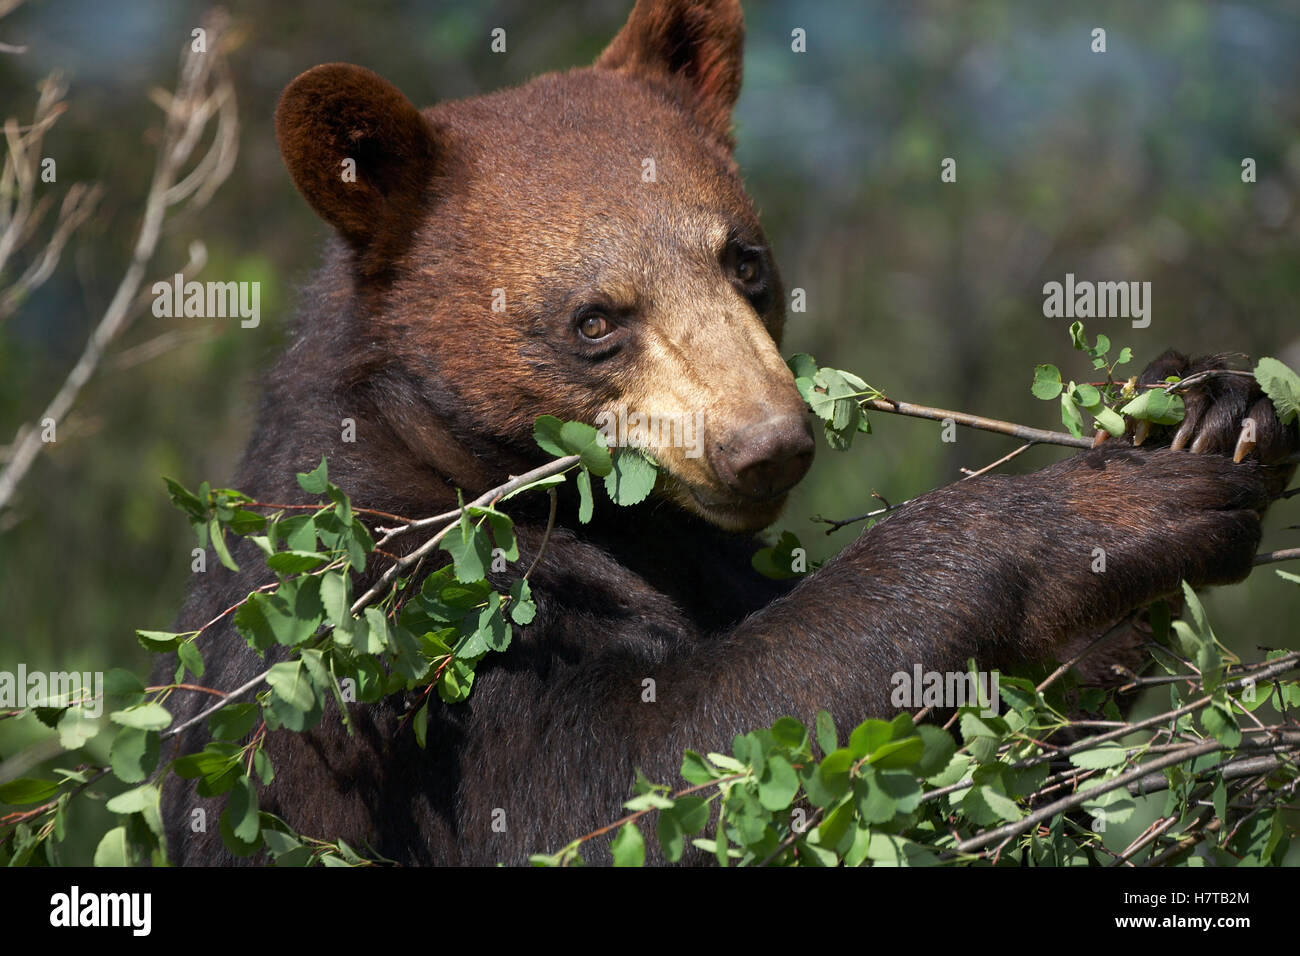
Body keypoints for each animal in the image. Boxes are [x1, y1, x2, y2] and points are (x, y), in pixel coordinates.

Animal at [160, 0, 1297, 866]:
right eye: (595, 319)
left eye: (744, 258)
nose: (766, 443)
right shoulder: (404, 648)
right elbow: (624, 784)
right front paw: (1090, 513)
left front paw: (1196, 404)